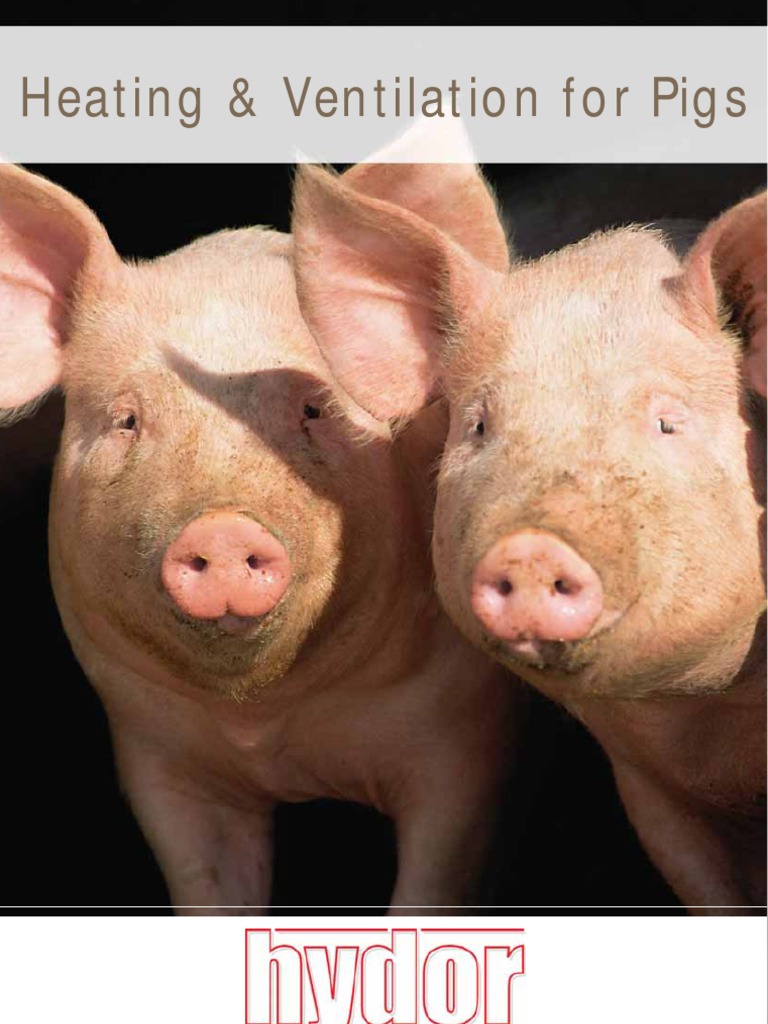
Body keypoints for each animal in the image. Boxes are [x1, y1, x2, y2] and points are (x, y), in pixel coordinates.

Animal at [0, 156, 519, 913]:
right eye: (127, 419)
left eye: (314, 409)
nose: (220, 530)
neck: (270, 725)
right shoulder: (157, 757)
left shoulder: (462, 740)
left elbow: (433, 882)